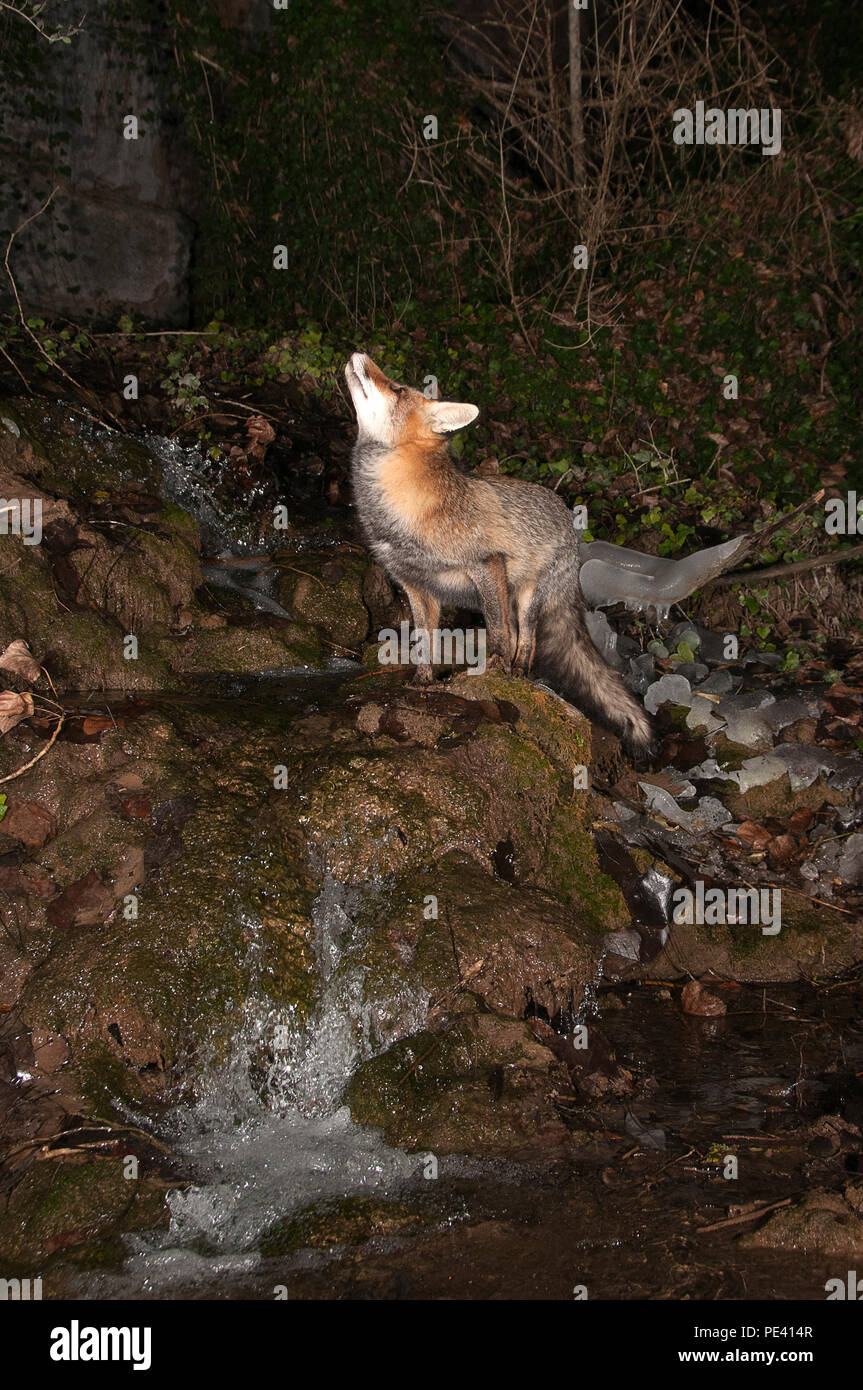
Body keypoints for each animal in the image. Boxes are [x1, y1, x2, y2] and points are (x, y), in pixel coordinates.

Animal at [344, 352, 656, 761]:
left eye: (396, 389)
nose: (358, 354)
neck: (403, 512)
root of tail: (572, 532)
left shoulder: (486, 563)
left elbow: (496, 631)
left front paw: (495, 668)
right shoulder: (417, 588)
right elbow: (424, 644)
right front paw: (422, 684)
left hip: (526, 597)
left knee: (528, 639)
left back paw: (519, 673)